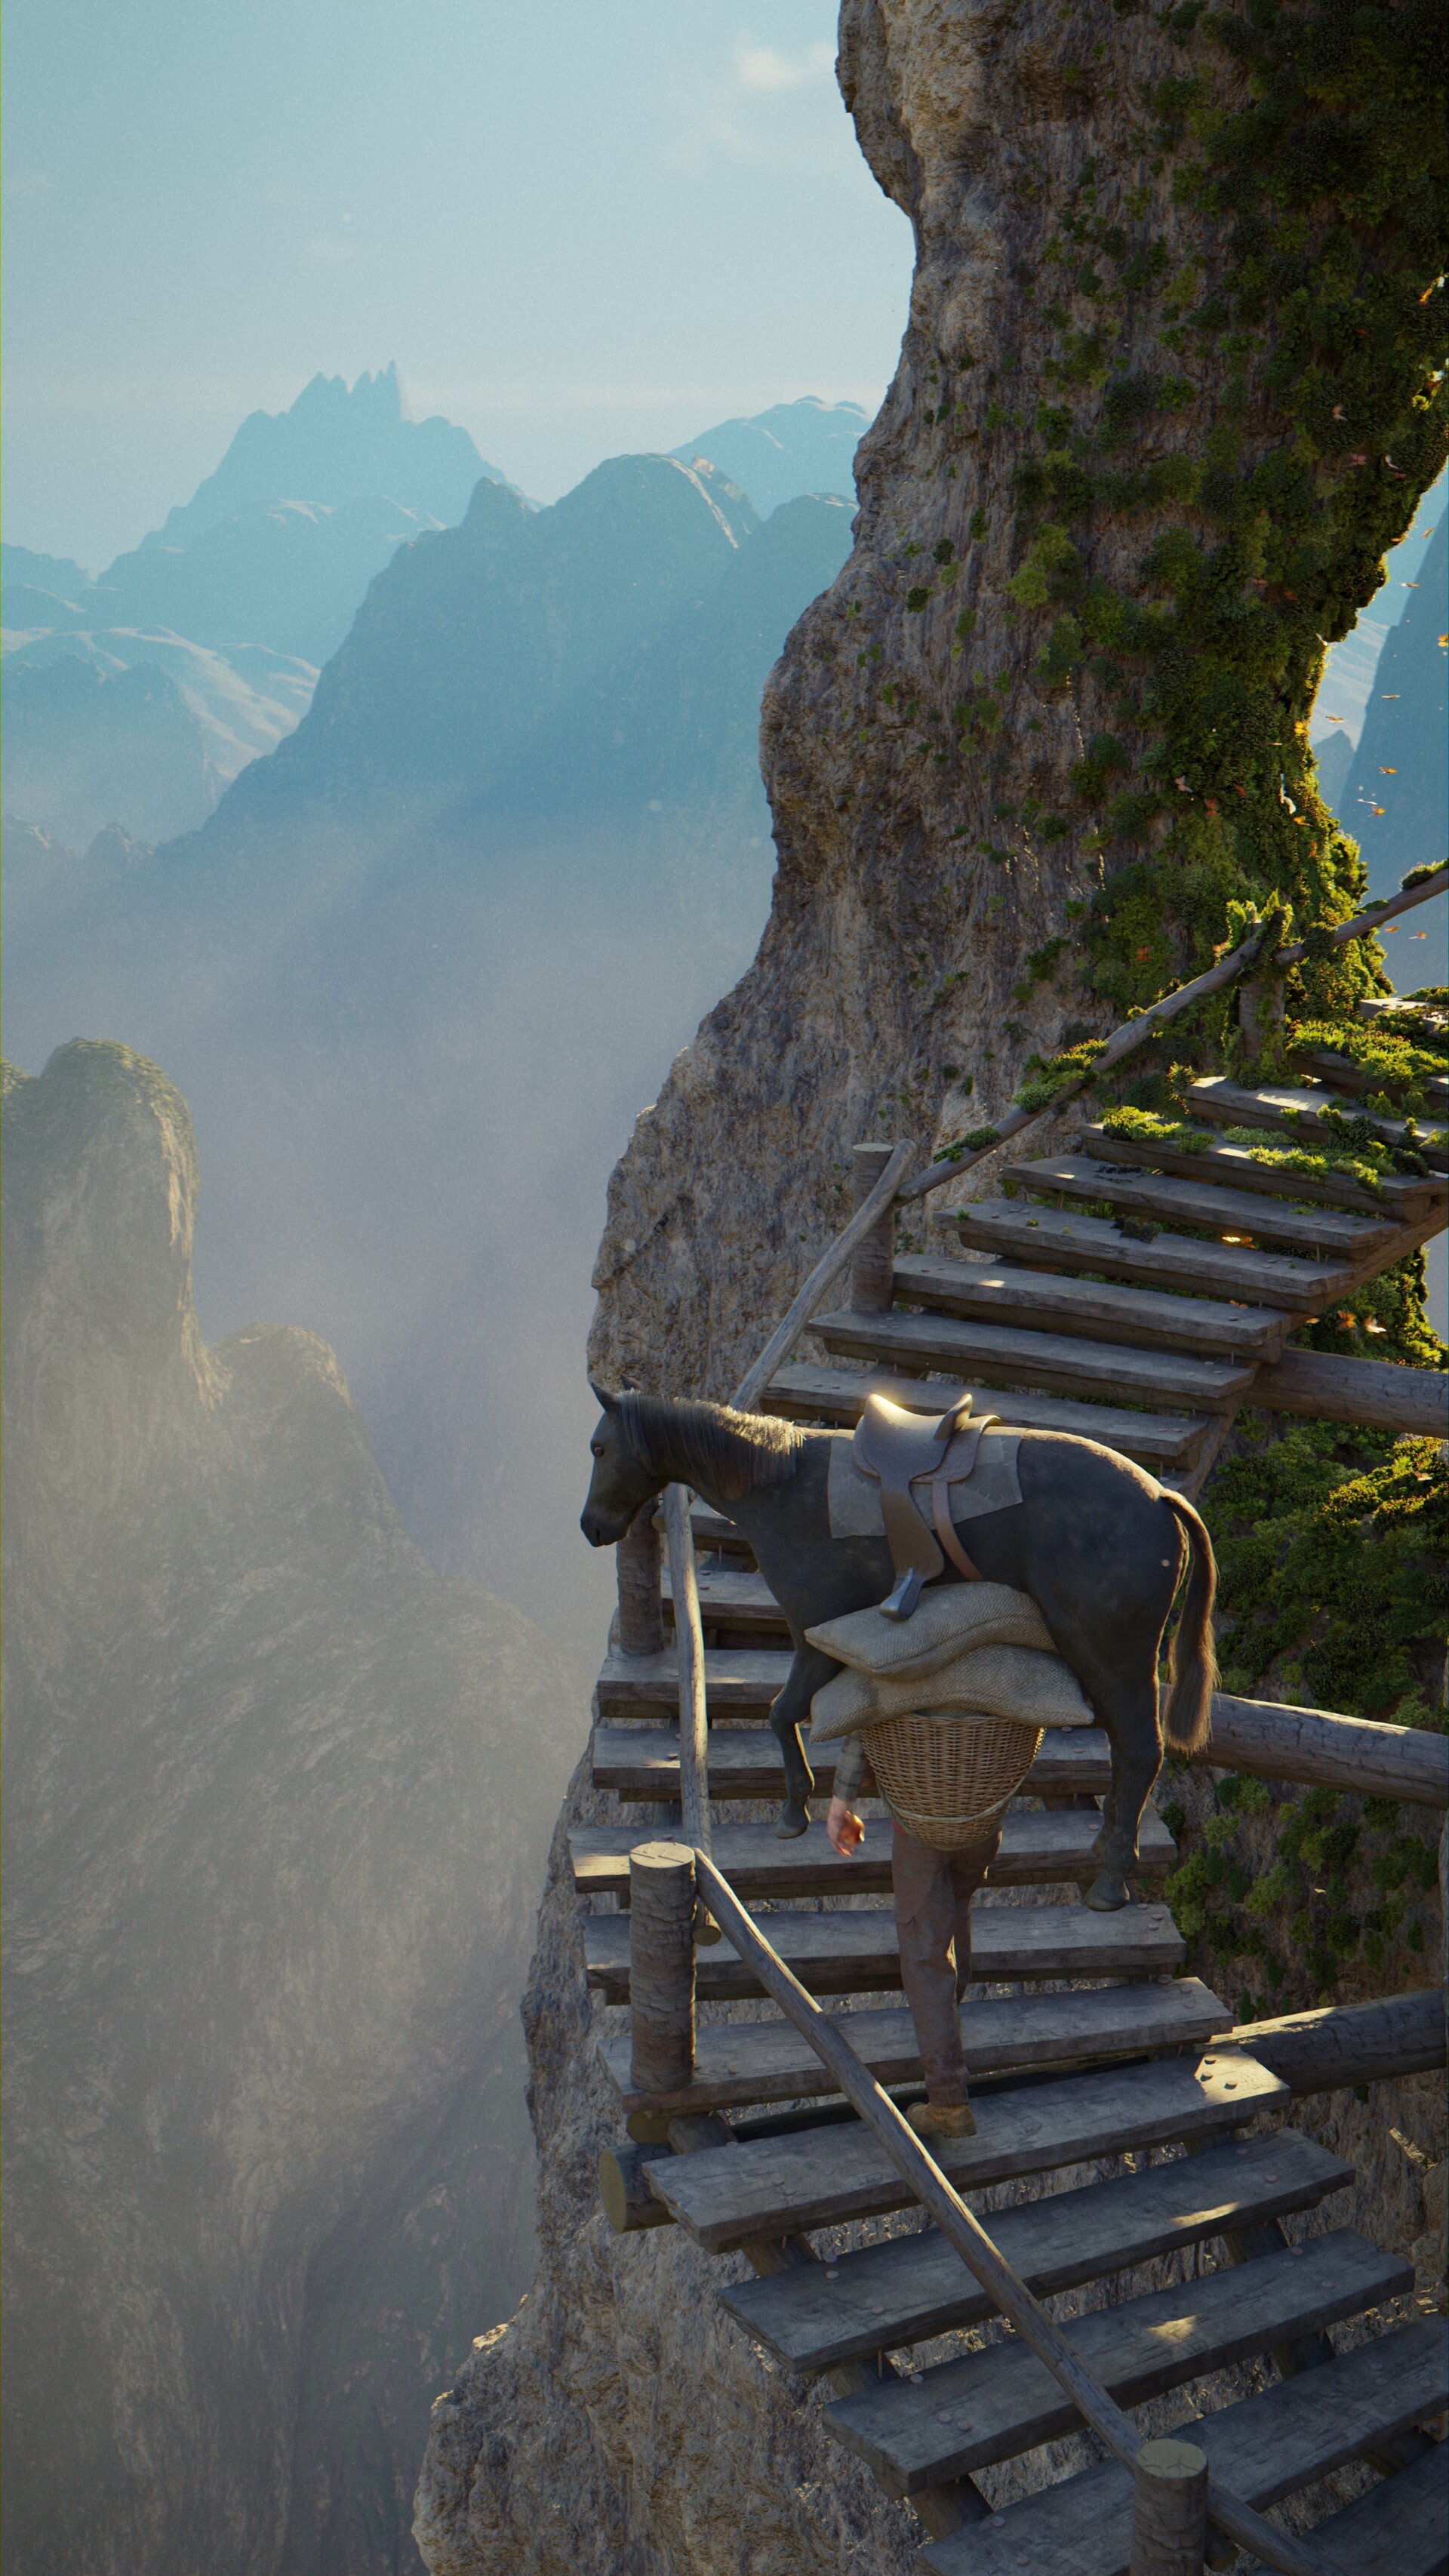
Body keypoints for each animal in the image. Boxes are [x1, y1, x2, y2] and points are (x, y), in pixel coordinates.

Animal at [580, 1385, 1217, 1911]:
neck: (778, 1486)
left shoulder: (813, 1639)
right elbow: (797, 1715)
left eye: (599, 1448)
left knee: (1139, 1752)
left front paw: (793, 1810)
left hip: (1113, 1659)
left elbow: (782, 1713)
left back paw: (1111, 1878)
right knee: (1127, 1755)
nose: (591, 1526)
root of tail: (1160, 1496)